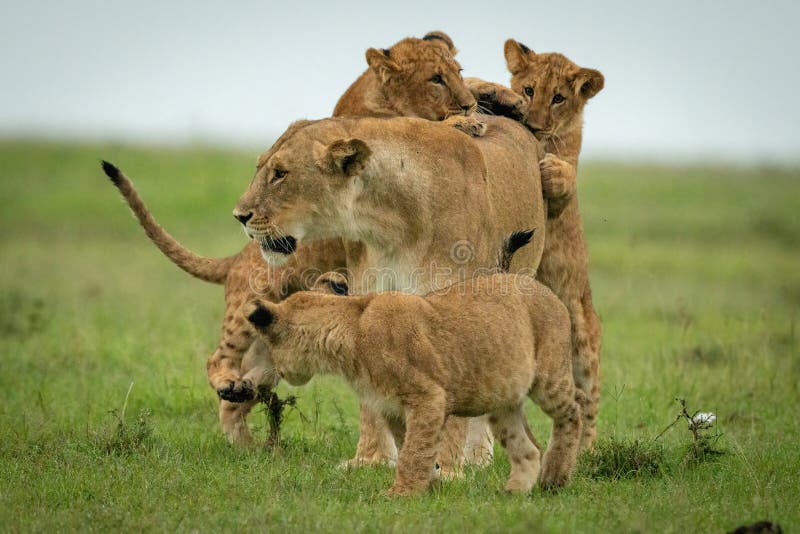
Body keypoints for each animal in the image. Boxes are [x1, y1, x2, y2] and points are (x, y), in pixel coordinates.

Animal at [101, 31, 509, 449]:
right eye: (434, 79)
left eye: (456, 71)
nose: (467, 104)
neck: (375, 97)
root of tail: (235, 258)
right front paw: (465, 120)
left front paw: (489, 94)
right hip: (248, 305)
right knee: (216, 360)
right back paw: (234, 401)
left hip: (272, 343)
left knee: (239, 398)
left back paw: (246, 441)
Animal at [242, 230, 582, 496]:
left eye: (269, 349)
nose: (281, 372)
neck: (351, 325)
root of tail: (527, 282)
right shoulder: (391, 406)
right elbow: (412, 445)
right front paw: (431, 483)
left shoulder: (428, 397)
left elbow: (413, 451)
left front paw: (400, 494)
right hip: (501, 400)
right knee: (527, 448)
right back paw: (514, 492)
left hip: (550, 377)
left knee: (572, 412)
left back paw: (554, 478)